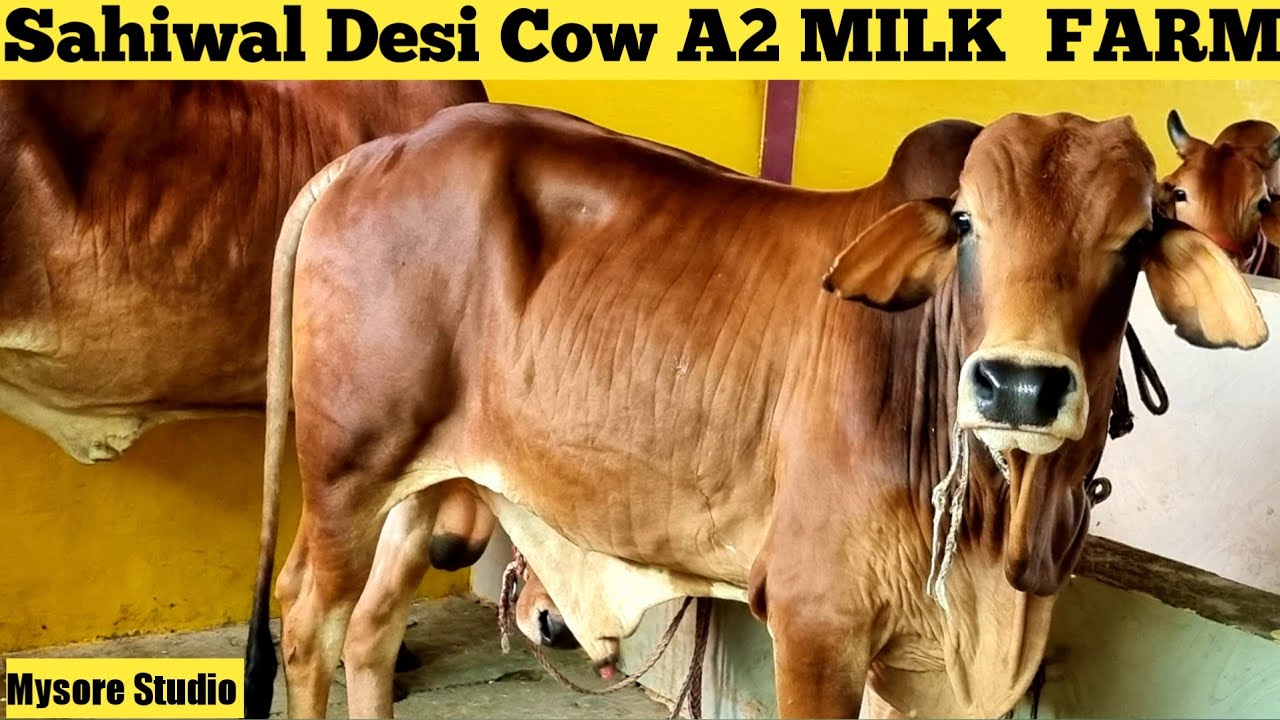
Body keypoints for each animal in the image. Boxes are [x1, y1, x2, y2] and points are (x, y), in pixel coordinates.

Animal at [247, 106, 1266, 719]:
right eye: (968, 221)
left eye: (1136, 236)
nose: (1019, 386)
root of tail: (371, 155)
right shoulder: (819, 623)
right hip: (346, 474)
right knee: (309, 621)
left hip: (423, 482)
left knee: (373, 630)